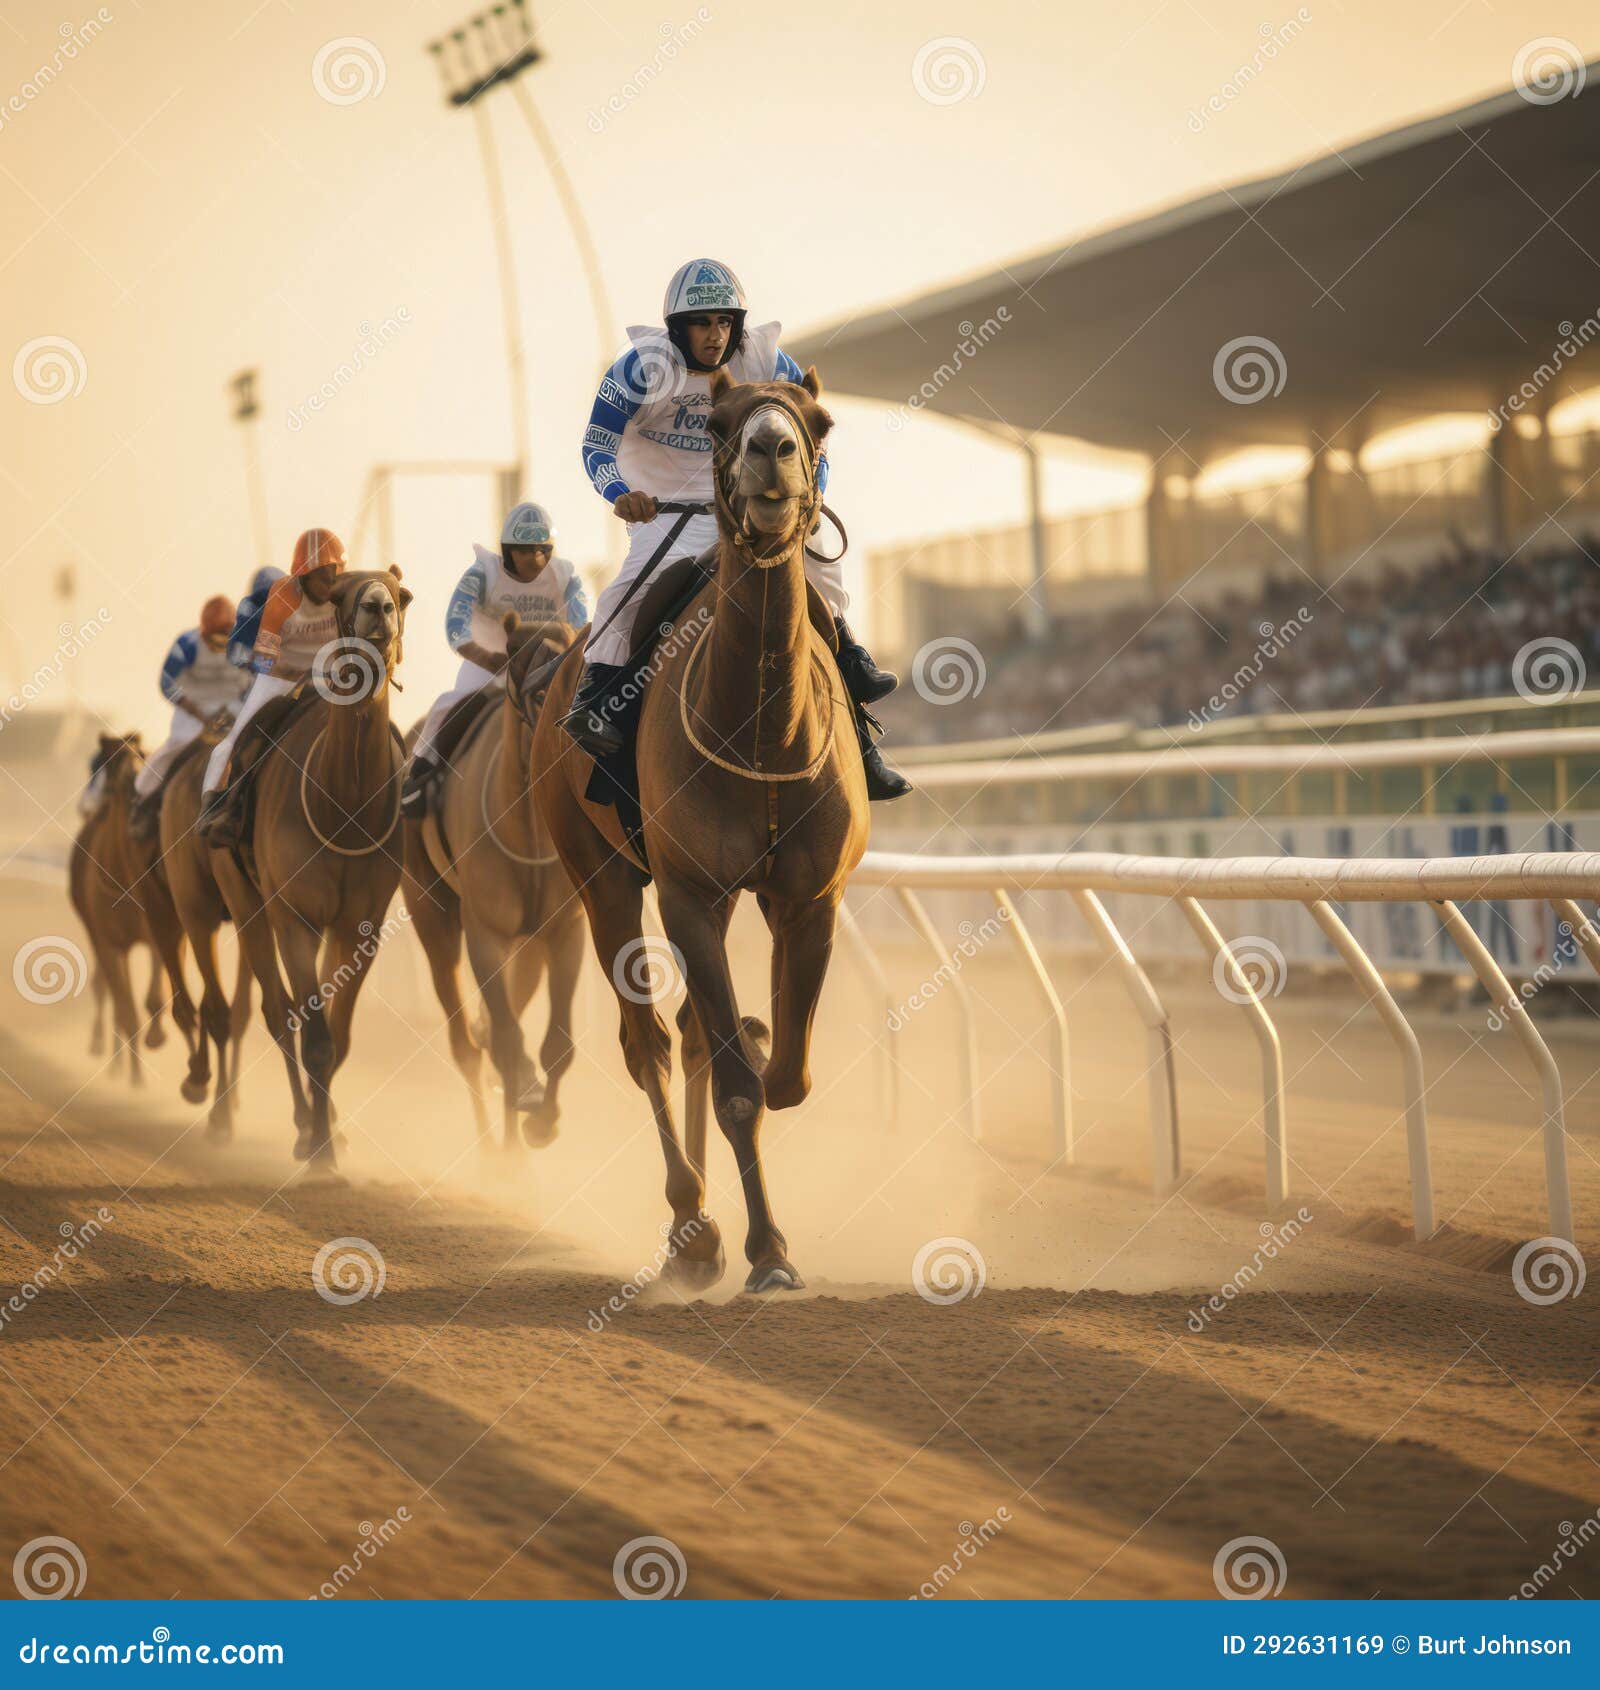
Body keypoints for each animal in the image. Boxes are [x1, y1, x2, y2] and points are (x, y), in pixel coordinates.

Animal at [227, 568, 411, 1166]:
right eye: (340, 595)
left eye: (402, 596)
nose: (378, 608)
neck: (343, 810)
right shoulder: (296, 917)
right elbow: (312, 1033)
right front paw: (320, 1151)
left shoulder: (360, 926)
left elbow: (338, 1037)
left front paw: (330, 1137)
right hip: (246, 903)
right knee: (276, 1012)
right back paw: (302, 1124)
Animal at [402, 616, 585, 1152]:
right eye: (538, 689)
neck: (529, 829)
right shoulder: (485, 933)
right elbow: (503, 1040)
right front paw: (525, 1117)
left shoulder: (564, 931)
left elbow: (557, 1042)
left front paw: (543, 1123)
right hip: (432, 916)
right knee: (468, 1043)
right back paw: (492, 1155)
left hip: (529, 947)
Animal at [532, 366, 869, 1293]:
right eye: (718, 424)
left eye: (819, 420)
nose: (772, 451)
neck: (760, 731)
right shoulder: (688, 891)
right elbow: (740, 1087)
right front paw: (766, 1252)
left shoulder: (807, 897)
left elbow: (782, 1074)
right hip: (599, 872)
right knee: (644, 1041)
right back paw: (692, 1225)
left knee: (684, 1038)